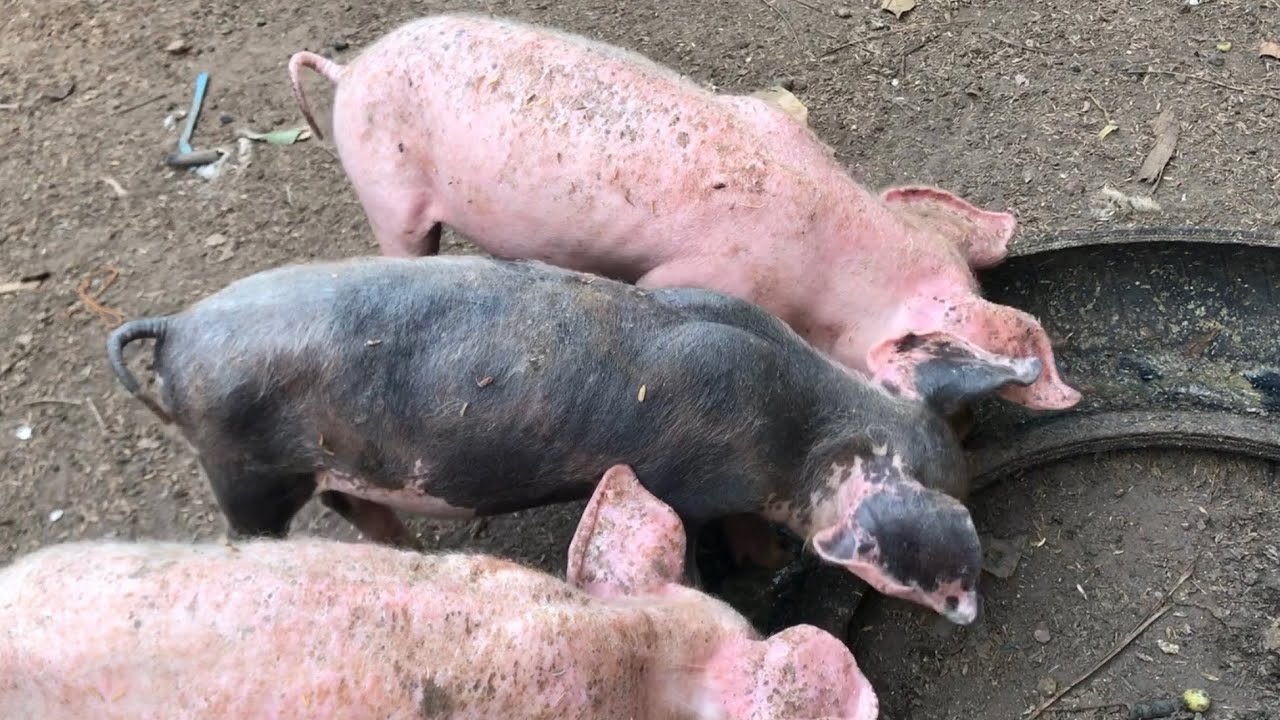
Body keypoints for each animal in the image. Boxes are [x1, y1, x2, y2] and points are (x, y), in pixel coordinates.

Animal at [106, 255, 1039, 623]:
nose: (972, 608)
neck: (796, 429)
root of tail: (179, 327)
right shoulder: (687, 486)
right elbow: (710, 539)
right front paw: (750, 573)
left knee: (355, 508)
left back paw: (411, 554)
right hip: (240, 465)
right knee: (256, 528)